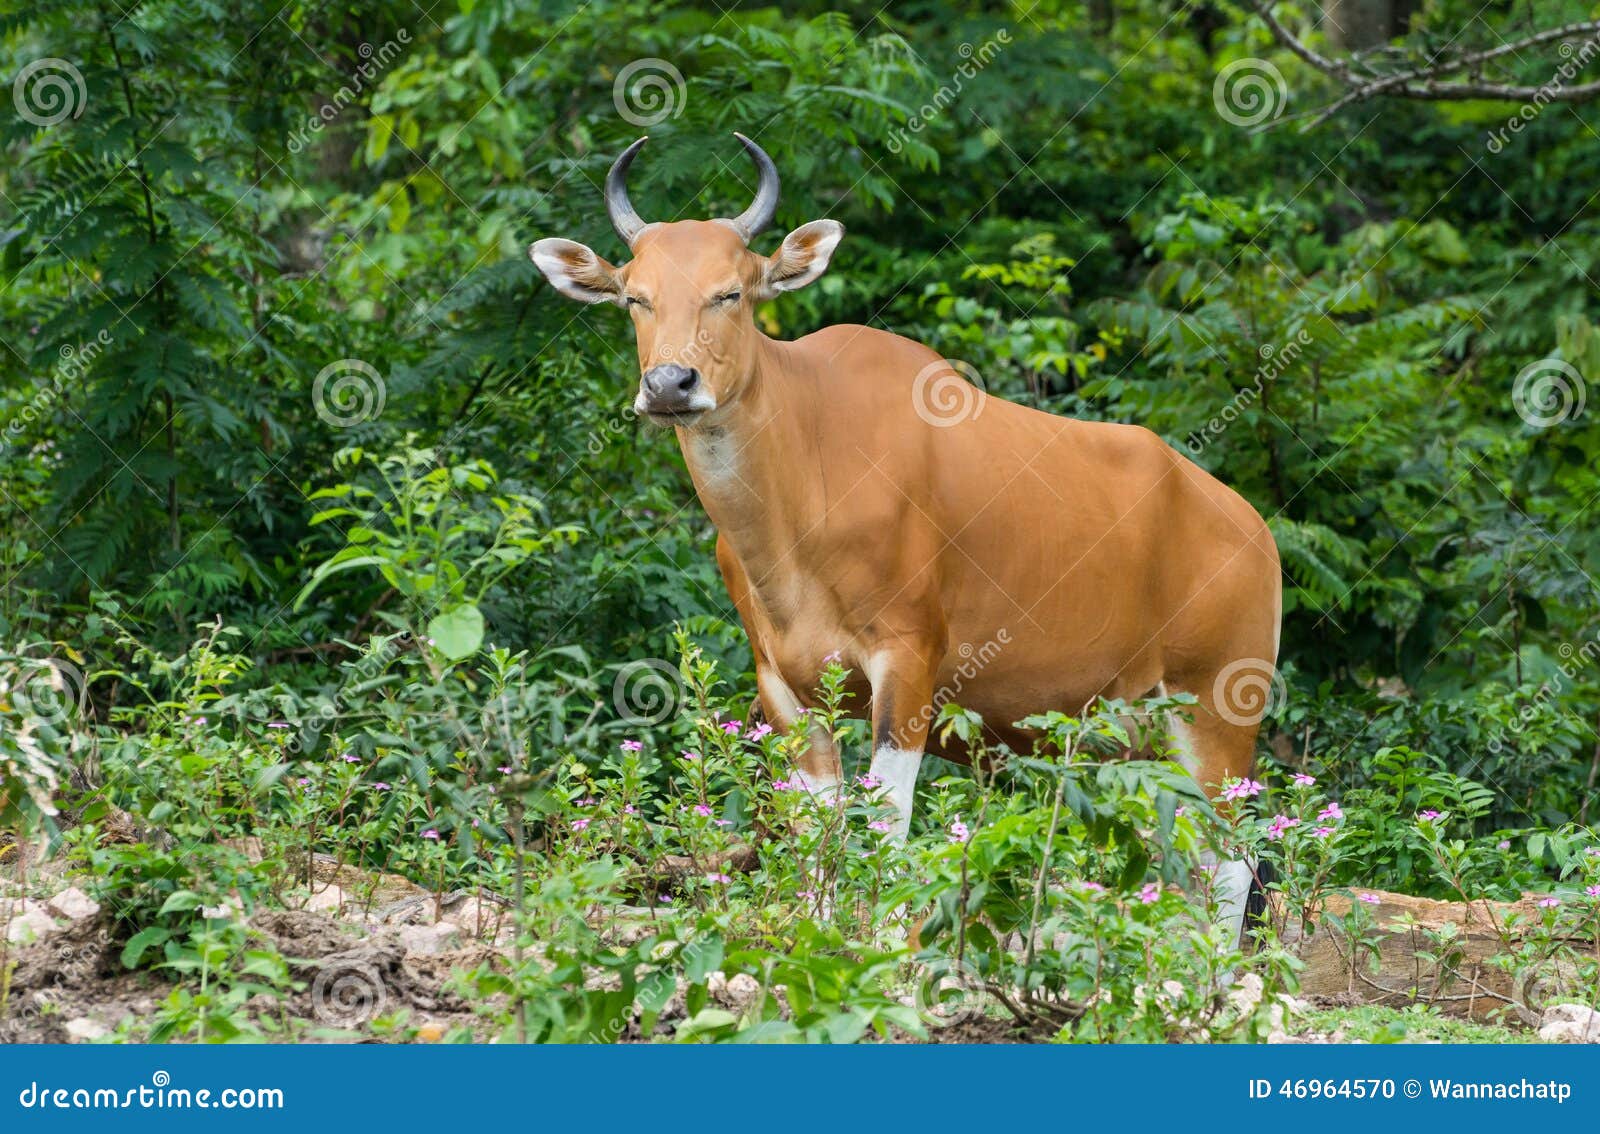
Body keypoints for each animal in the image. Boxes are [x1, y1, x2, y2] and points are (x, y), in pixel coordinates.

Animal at [531, 134, 1281, 932]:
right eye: (635, 298)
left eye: (731, 292)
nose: (670, 384)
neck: (807, 477)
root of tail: (1252, 531)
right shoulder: (784, 688)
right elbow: (817, 837)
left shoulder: (909, 662)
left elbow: (886, 825)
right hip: (1139, 738)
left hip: (1217, 713)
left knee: (1232, 862)